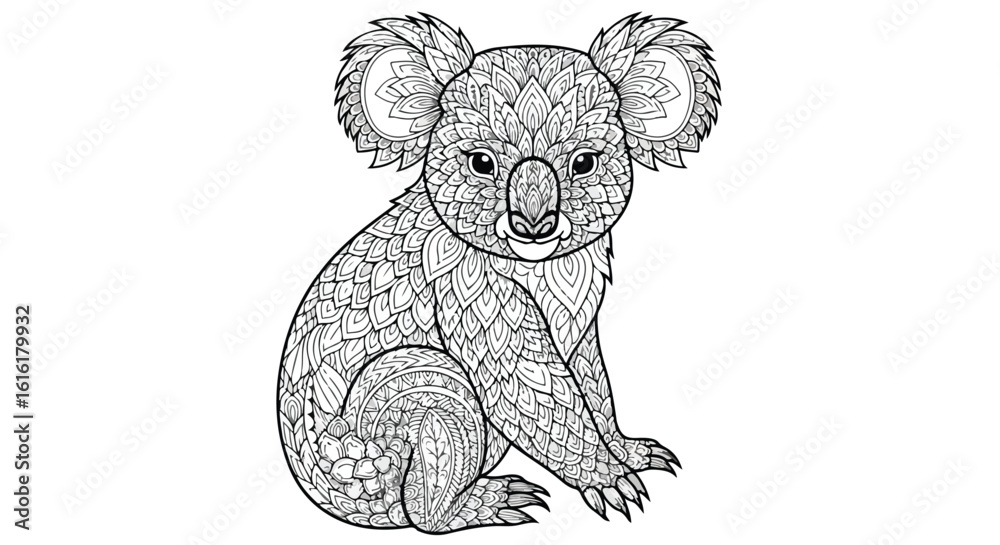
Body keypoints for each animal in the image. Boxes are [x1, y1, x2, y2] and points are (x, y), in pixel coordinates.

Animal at [276, 13, 720, 533]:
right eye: (481, 162)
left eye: (584, 162)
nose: (534, 223)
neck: (537, 267)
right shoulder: (468, 291)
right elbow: (528, 388)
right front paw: (609, 480)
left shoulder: (579, 316)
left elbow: (591, 384)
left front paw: (630, 452)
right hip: (402, 418)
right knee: (427, 490)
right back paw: (488, 500)